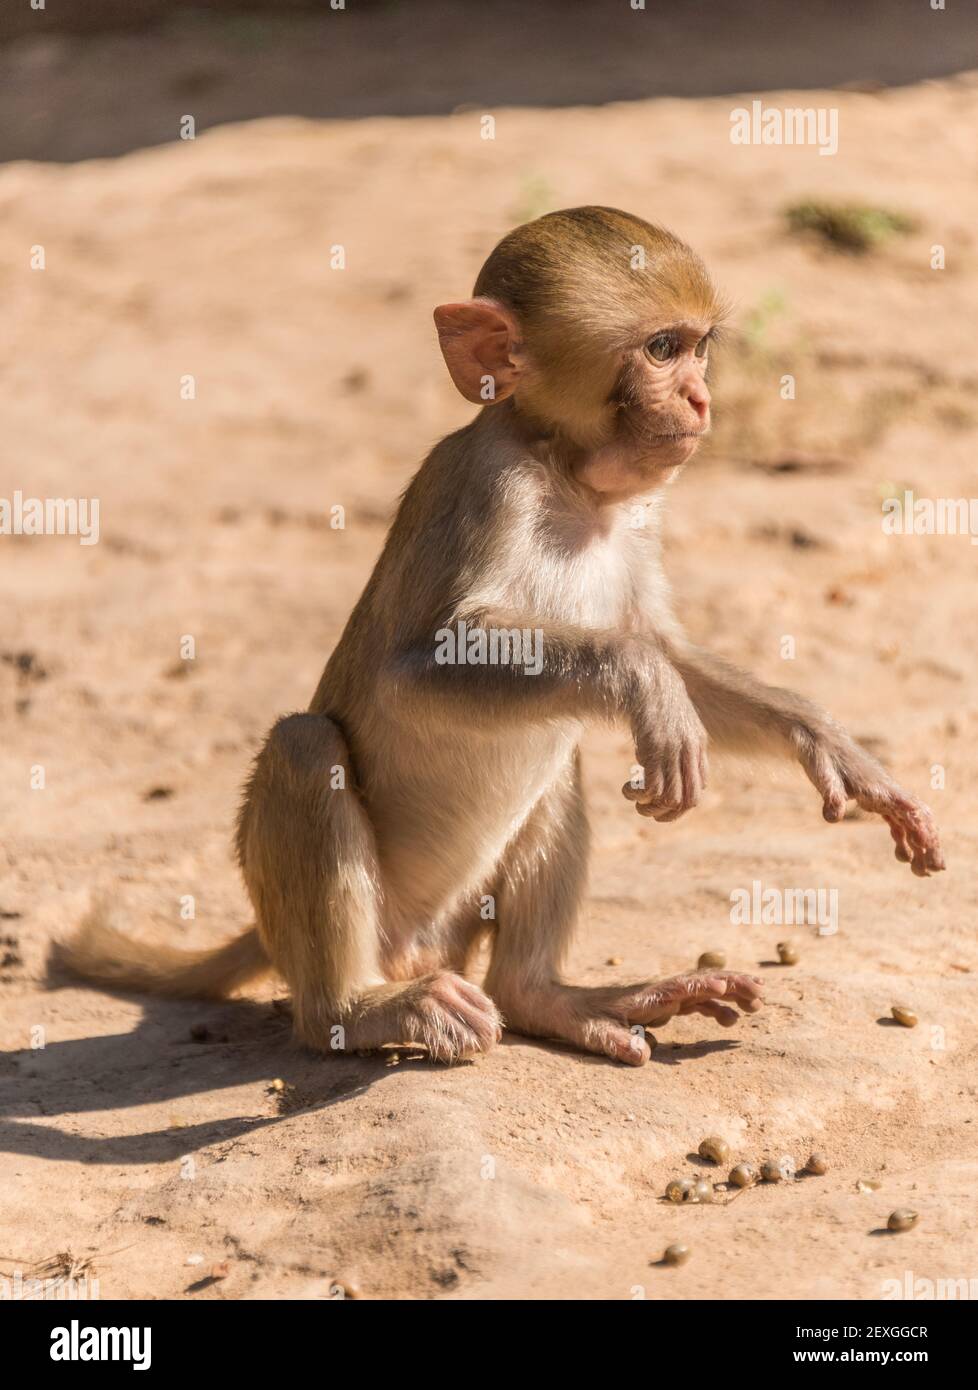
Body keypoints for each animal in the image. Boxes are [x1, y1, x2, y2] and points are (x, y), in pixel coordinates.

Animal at [55, 206, 944, 1067]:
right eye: (661, 349)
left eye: (699, 348)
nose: (699, 400)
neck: (571, 481)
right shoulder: (491, 489)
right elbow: (419, 671)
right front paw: (641, 681)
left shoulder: (640, 521)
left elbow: (667, 647)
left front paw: (829, 742)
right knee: (305, 747)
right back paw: (356, 1012)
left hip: (460, 920)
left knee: (555, 761)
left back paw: (548, 998)